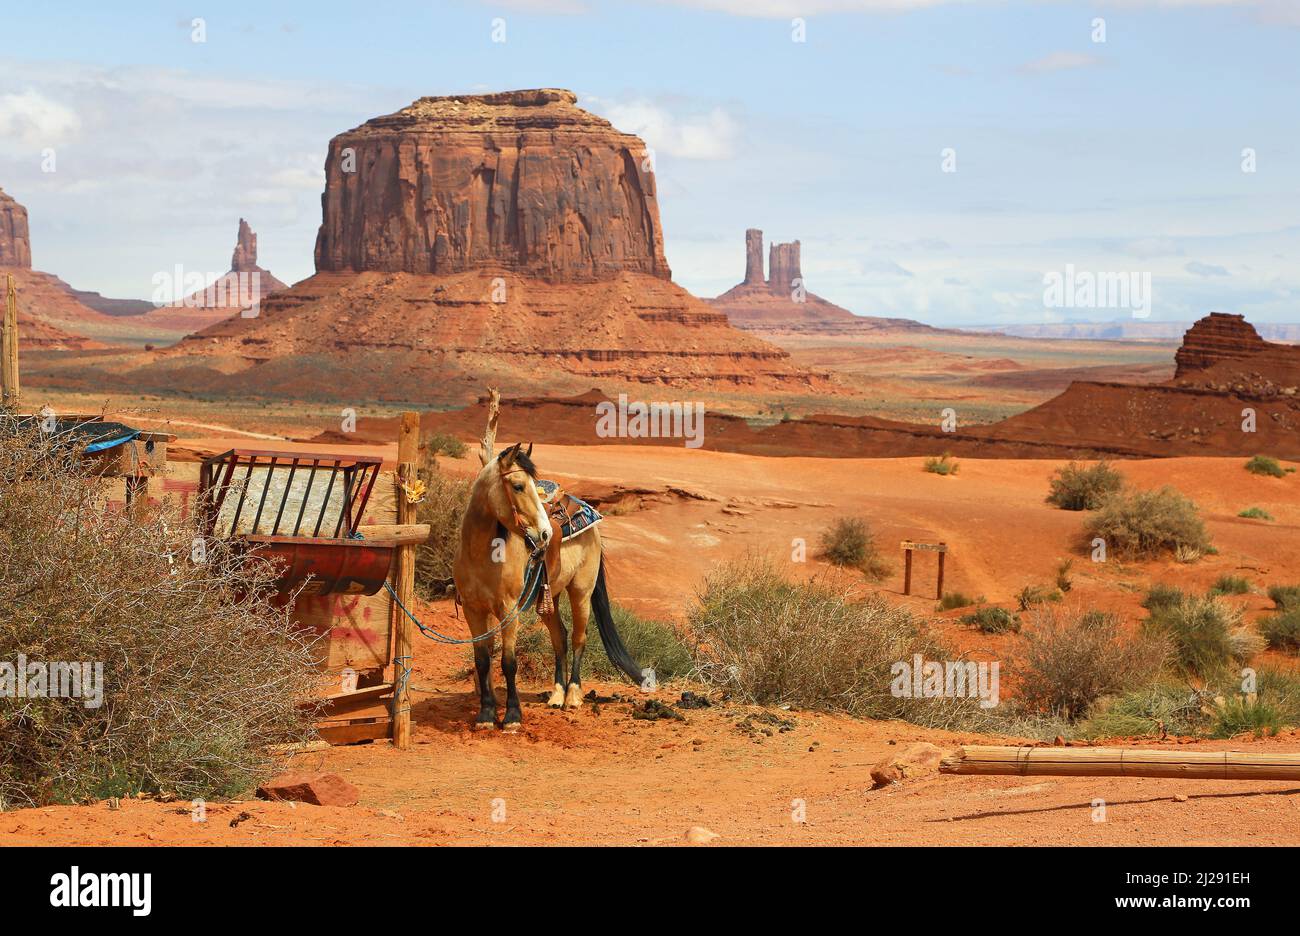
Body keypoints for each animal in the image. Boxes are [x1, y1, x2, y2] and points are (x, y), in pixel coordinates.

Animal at [452, 441, 643, 731]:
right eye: (518, 486)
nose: (545, 534)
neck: (482, 554)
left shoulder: (508, 611)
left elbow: (508, 663)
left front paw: (512, 716)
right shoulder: (473, 610)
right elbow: (483, 661)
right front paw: (485, 715)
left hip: (581, 593)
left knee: (578, 638)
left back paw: (573, 696)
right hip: (548, 599)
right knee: (560, 637)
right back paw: (556, 695)